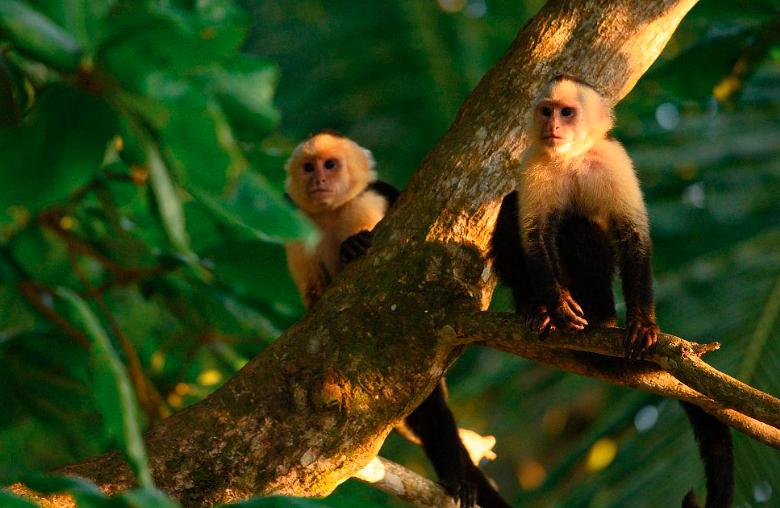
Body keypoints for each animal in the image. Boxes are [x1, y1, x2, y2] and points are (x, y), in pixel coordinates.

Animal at [285, 131, 512, 508]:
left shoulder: (373, 197)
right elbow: (315, 300)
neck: (331, 214)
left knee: (433, 413)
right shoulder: (298, 239)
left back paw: (458, 477)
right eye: (308, 167)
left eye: (330, 165)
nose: (319, 179)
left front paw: (353, 245)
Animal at [490, 75, 734, 508]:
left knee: (579, 228)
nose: (553, 124)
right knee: (514, 212)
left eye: (567, 112)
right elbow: (534, 235)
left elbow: (632, 236)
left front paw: (643, 323)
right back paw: (535, 309)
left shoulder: (613, 162)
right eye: (546, 110)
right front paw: (553, 304)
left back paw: (600, 316)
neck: (569, 157)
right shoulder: (534, 164)